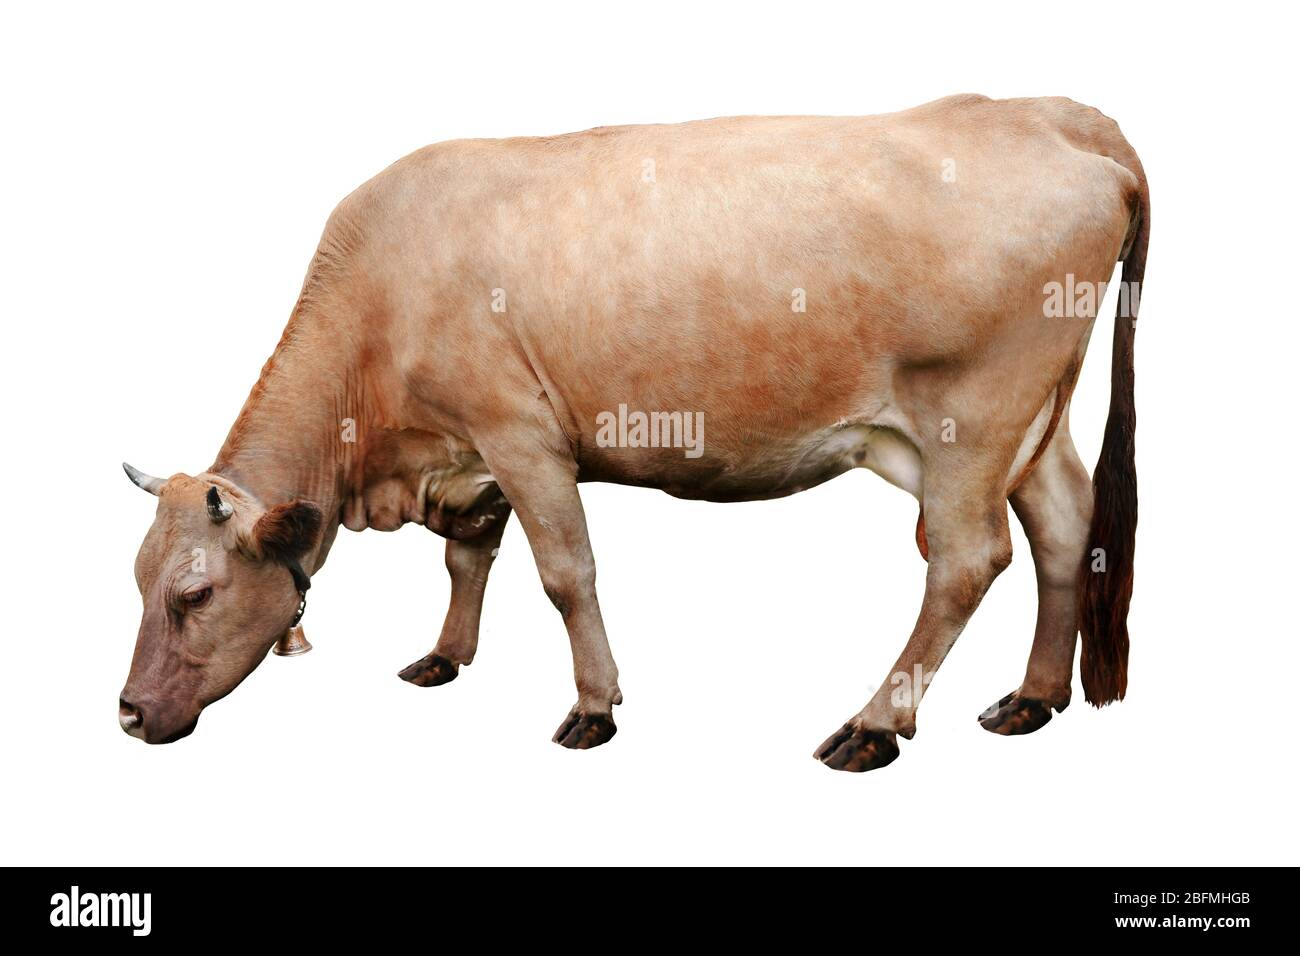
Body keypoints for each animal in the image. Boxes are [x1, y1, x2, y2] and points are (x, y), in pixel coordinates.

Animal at [121, 94, 1147, 771]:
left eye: (195, 593)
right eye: (137, 579)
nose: (128, 714)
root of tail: (1052, 114)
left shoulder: (519, 432)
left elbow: (564, 573)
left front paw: (594, 705)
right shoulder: (469, 456)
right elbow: (468, 558)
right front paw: (446, 655)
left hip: (969, 419)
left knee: (969, 560)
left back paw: (875, 725)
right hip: (1032, 420)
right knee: (1067, 530)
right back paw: (1033, 698)